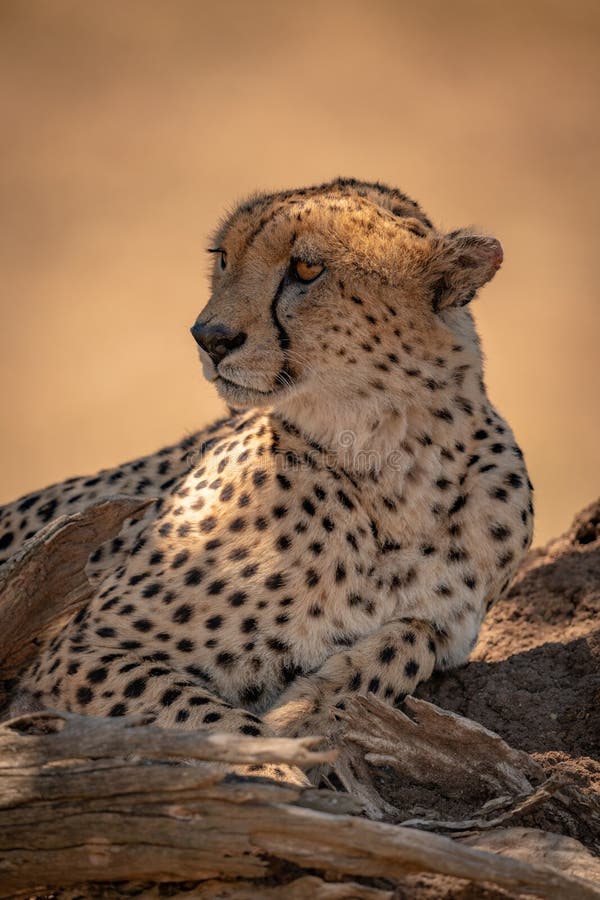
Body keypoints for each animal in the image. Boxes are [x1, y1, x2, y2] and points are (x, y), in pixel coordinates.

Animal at [0, 177, 533, 785]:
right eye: (223, 259)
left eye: (306, 269)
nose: (209, 337)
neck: (391, 465)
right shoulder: (77, 655)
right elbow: (210, 720)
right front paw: (284, 768)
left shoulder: (449, 622)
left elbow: (408, 641)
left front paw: (307, 712)